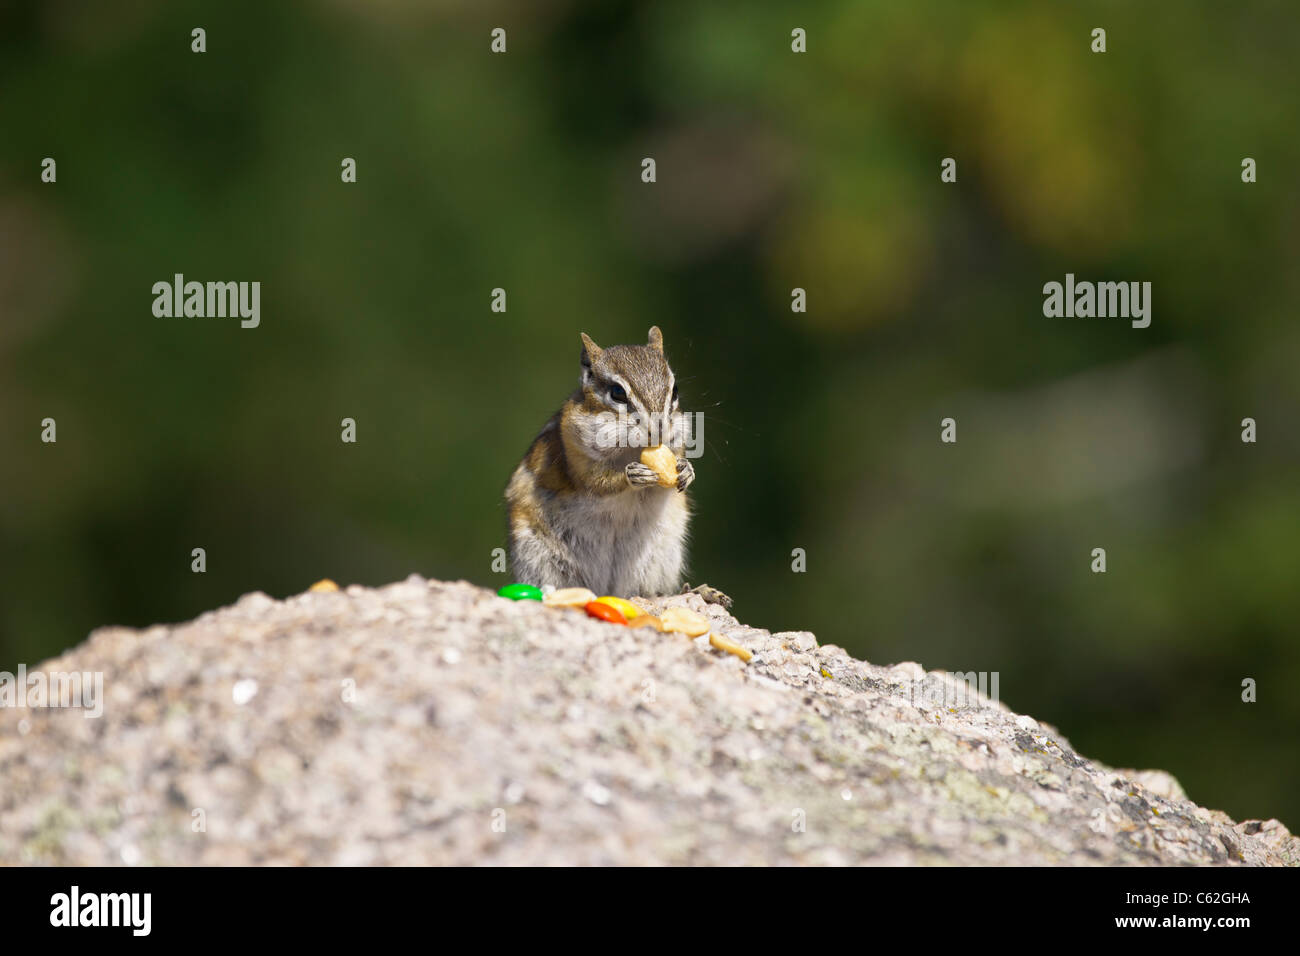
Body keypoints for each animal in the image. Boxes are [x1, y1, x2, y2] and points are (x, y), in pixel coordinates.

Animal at [505, 326, 695, 597]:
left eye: (675, 390)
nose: (659, 428)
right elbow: (597, 483)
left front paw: (687, 470)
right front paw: (632, 475)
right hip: (536, 555)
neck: (631, 450)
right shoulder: (577, 457)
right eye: (617, 392)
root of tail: (605, 589)